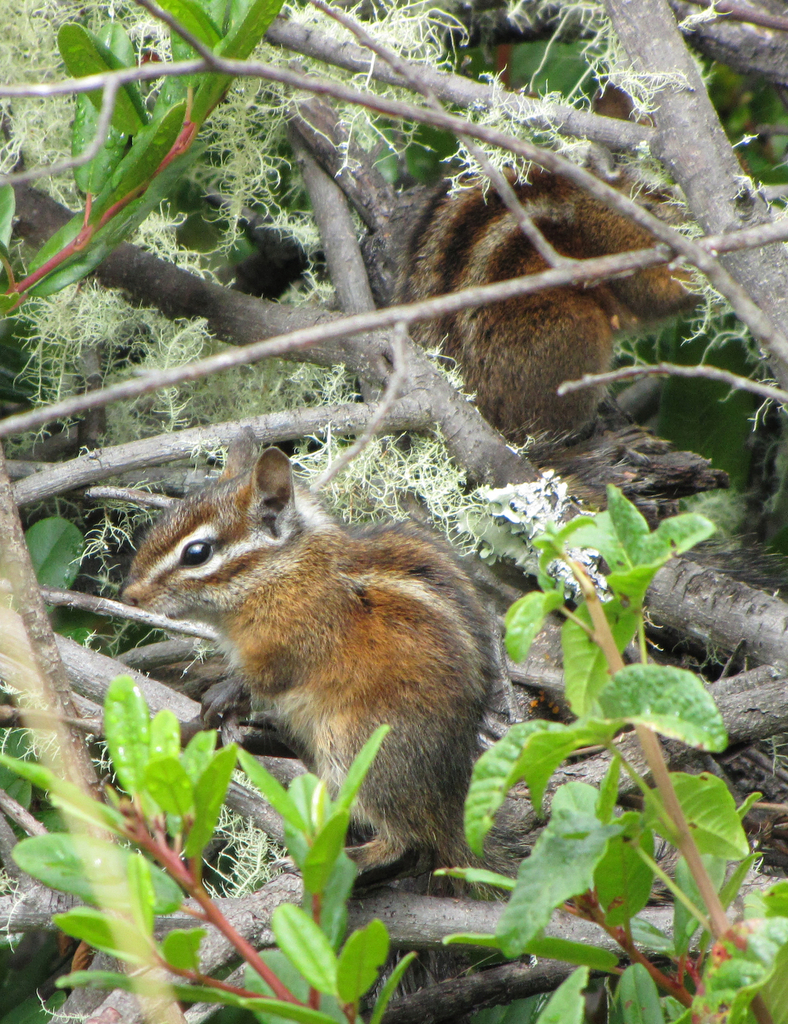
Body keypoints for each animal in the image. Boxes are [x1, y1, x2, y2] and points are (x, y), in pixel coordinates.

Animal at [122, 430, 502, 876]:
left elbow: (267, 675)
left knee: (404, 841)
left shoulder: (297, 640)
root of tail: (448, 810)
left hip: (358, 746)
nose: (129, 595)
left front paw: (226, 692)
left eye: (196, 553)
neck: (283, 571)